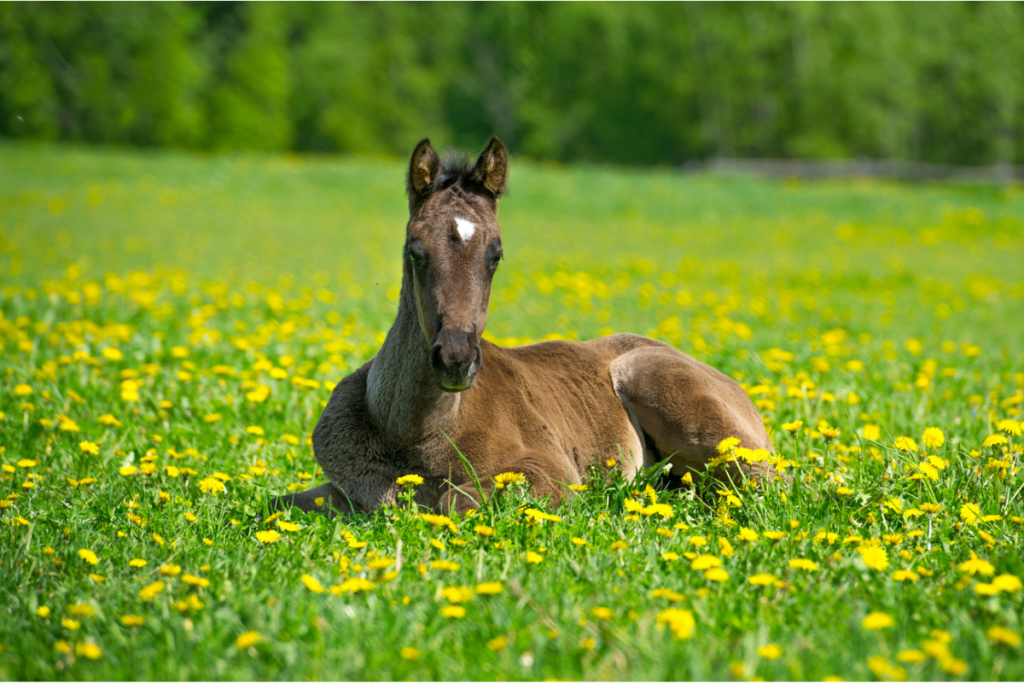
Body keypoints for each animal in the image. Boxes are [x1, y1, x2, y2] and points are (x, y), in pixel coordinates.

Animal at [271, 136, 776, 517]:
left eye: (496, 254)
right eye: (415, 251)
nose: (455, 359)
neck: (408, 435)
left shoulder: (549, 470)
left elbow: (455, 501)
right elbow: (278, 503)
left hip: (677, 400)